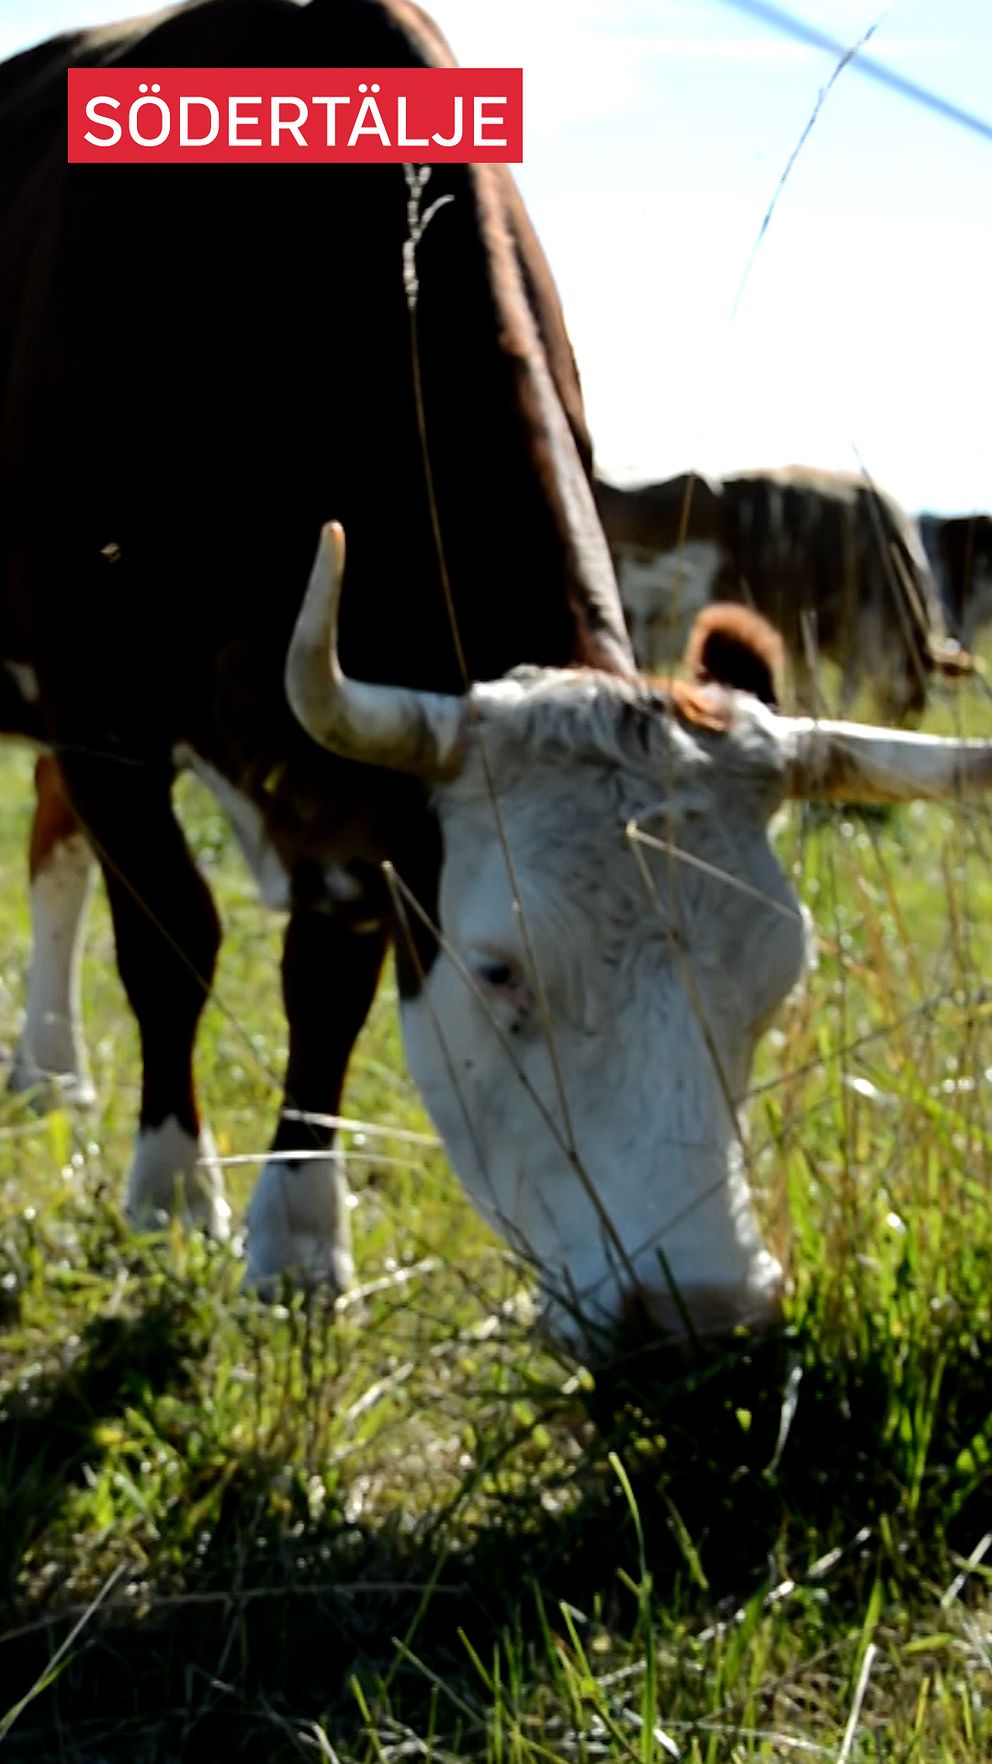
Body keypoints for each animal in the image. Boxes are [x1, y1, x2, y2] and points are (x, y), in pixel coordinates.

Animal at [589, 465, 953, 726]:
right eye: (925, 676)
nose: (911, 719)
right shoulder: (852, 635)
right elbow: (843, 696)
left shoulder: (801, 638)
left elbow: (808, 696)